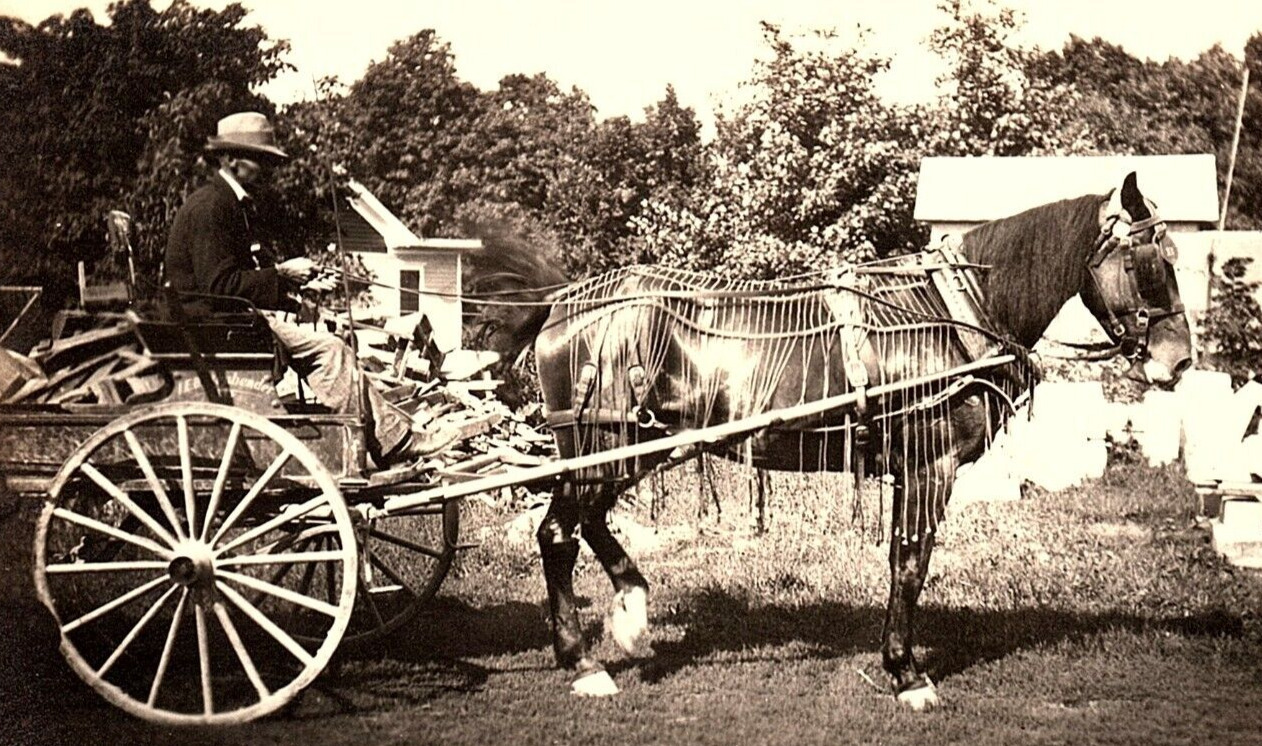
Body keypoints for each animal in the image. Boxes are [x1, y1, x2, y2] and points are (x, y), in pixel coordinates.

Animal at [465, 172, 1192, 709]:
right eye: (1149, 262)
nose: (1179, 359)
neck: (950, 313)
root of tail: (565, 301)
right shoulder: (929, 465)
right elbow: (910, 563)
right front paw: (906, 674)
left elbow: (904, 561)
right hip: (604, 442)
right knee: (559, 533)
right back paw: (583, 660)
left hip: (630, 446)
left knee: (582, 522)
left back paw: (630, 606)